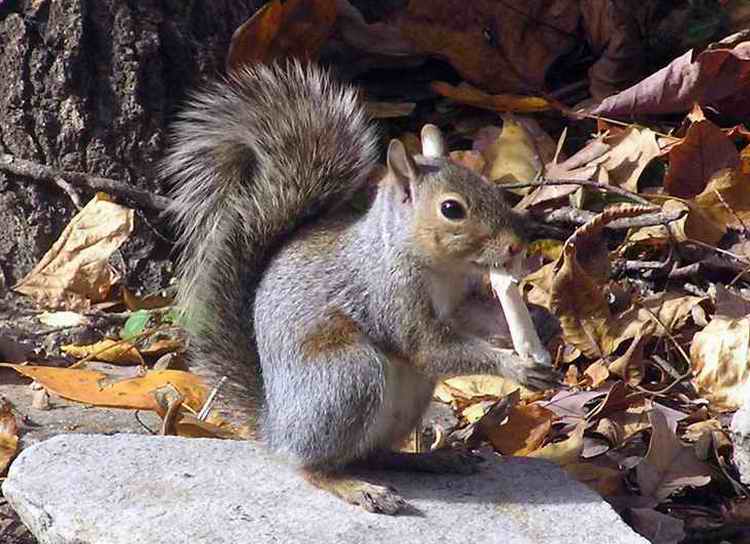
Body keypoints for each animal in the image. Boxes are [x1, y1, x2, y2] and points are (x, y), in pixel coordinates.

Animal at [163, 60, 559, 515]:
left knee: (373, 454)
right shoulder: (388, 296)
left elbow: (473, 317)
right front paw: (514, 365)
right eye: (451, 209)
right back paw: (357, 487)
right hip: (348, 379)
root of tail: (276, 428)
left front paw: (543, 323)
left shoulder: (457, 301)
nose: (516, 245)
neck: (440, 269)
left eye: (493, 188)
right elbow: (427, 347)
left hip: (407, 397)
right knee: (313, 465)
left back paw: (432, 459)